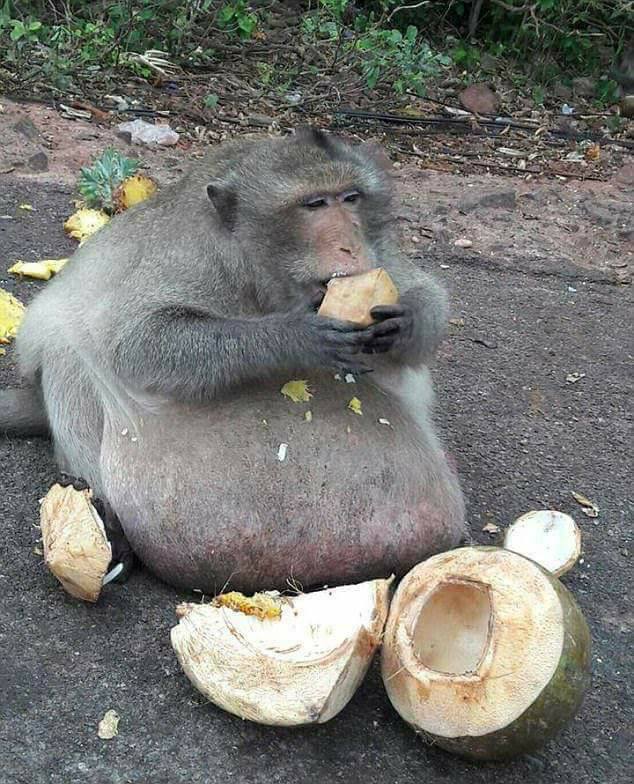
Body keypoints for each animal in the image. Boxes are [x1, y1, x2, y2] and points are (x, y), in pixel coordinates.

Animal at [0, 128, 465, 593]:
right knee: (67, 354)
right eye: (314, 204)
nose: (350, 244)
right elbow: (137, 340)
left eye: (351, 198)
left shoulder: (380, 250)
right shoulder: (190, 254)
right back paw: (111, 530)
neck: (258, 273)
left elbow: (425, 296)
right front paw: (293, 336)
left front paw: (406, 321)